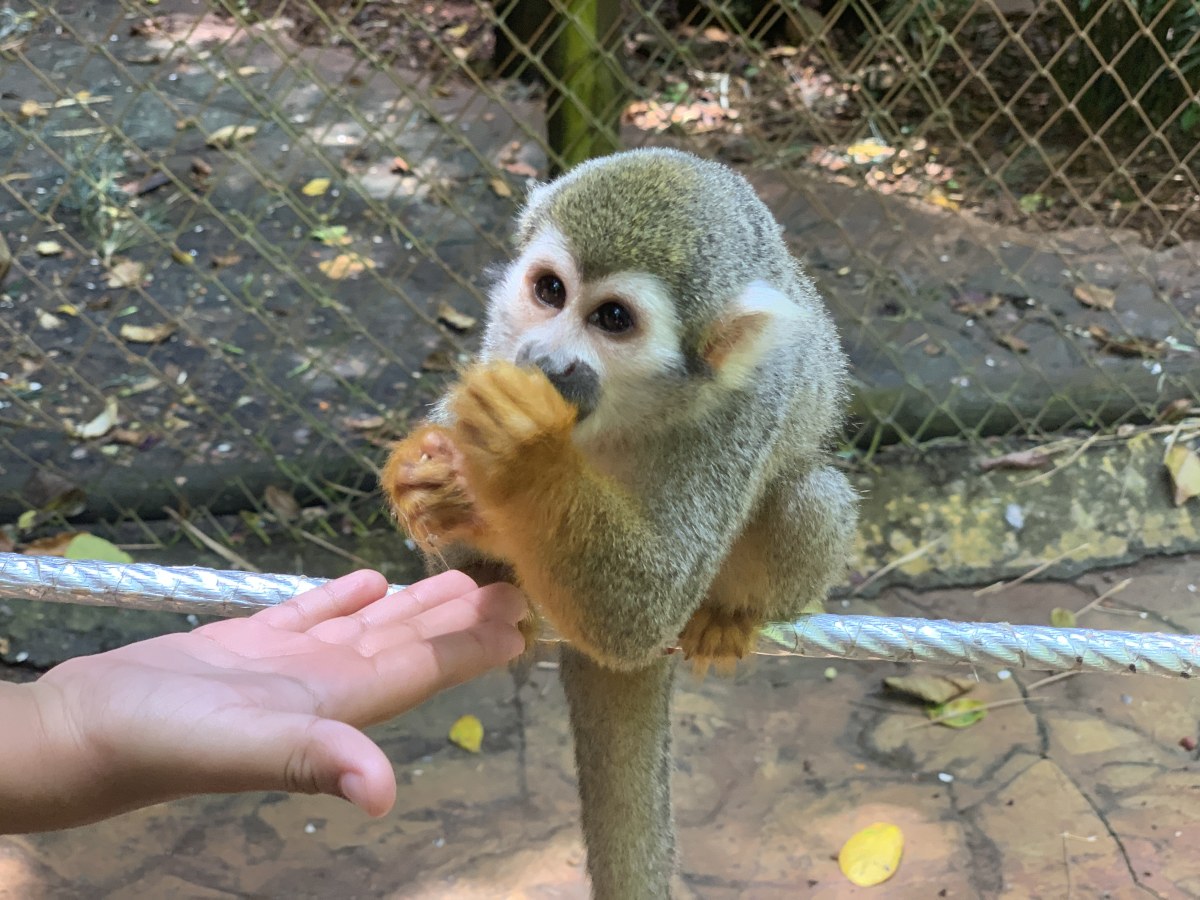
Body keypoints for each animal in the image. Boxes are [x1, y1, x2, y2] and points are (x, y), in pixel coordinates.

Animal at [381, 147, 858, 899]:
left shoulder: (744, 404)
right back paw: (489, 581)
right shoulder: (503, 335)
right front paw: (429, 479)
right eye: (549, 290)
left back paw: (732, 613)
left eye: (611, 318)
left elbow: (639, 610)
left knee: (808, 499)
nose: (545, 360)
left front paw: (524, 455)